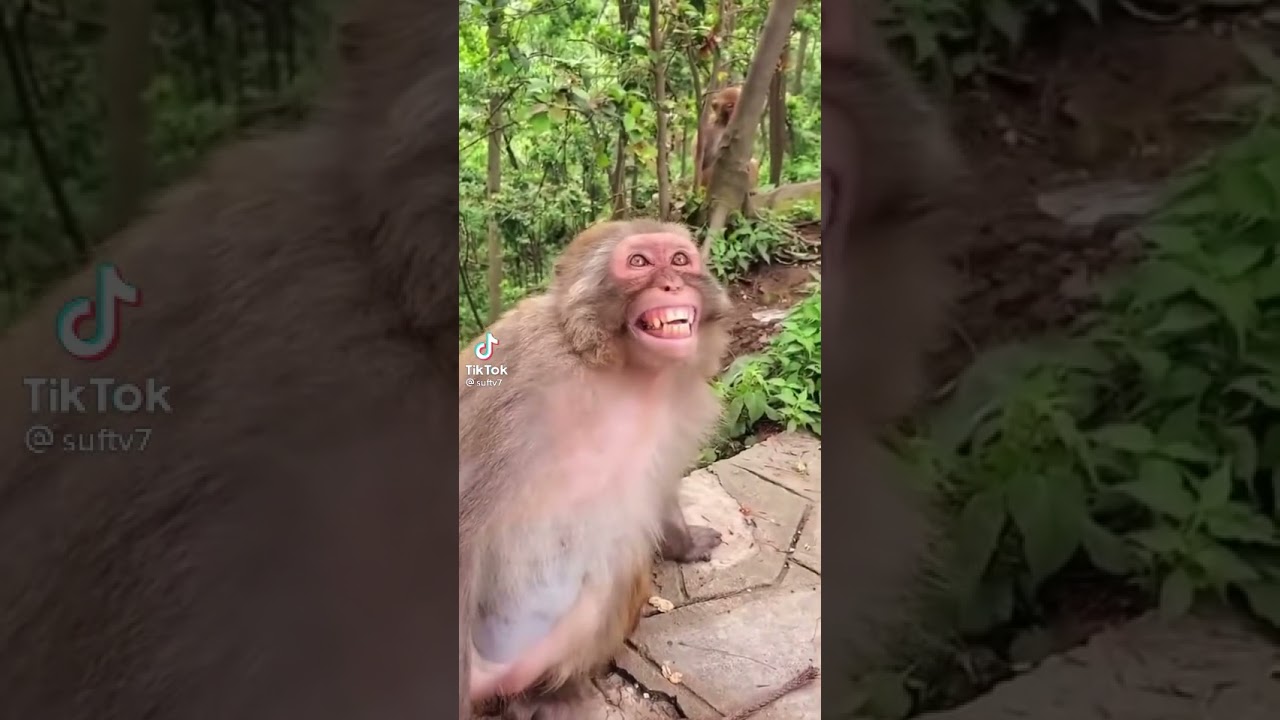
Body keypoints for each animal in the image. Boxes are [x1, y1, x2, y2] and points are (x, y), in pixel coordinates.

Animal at [459, 219, 731, 719]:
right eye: (639, 262)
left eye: (680, 259)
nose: (672, 282)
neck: (627, 374)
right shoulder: (515, 364)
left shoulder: (685, 403)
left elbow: (659, 489)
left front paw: (685, 544)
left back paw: (551, 694)